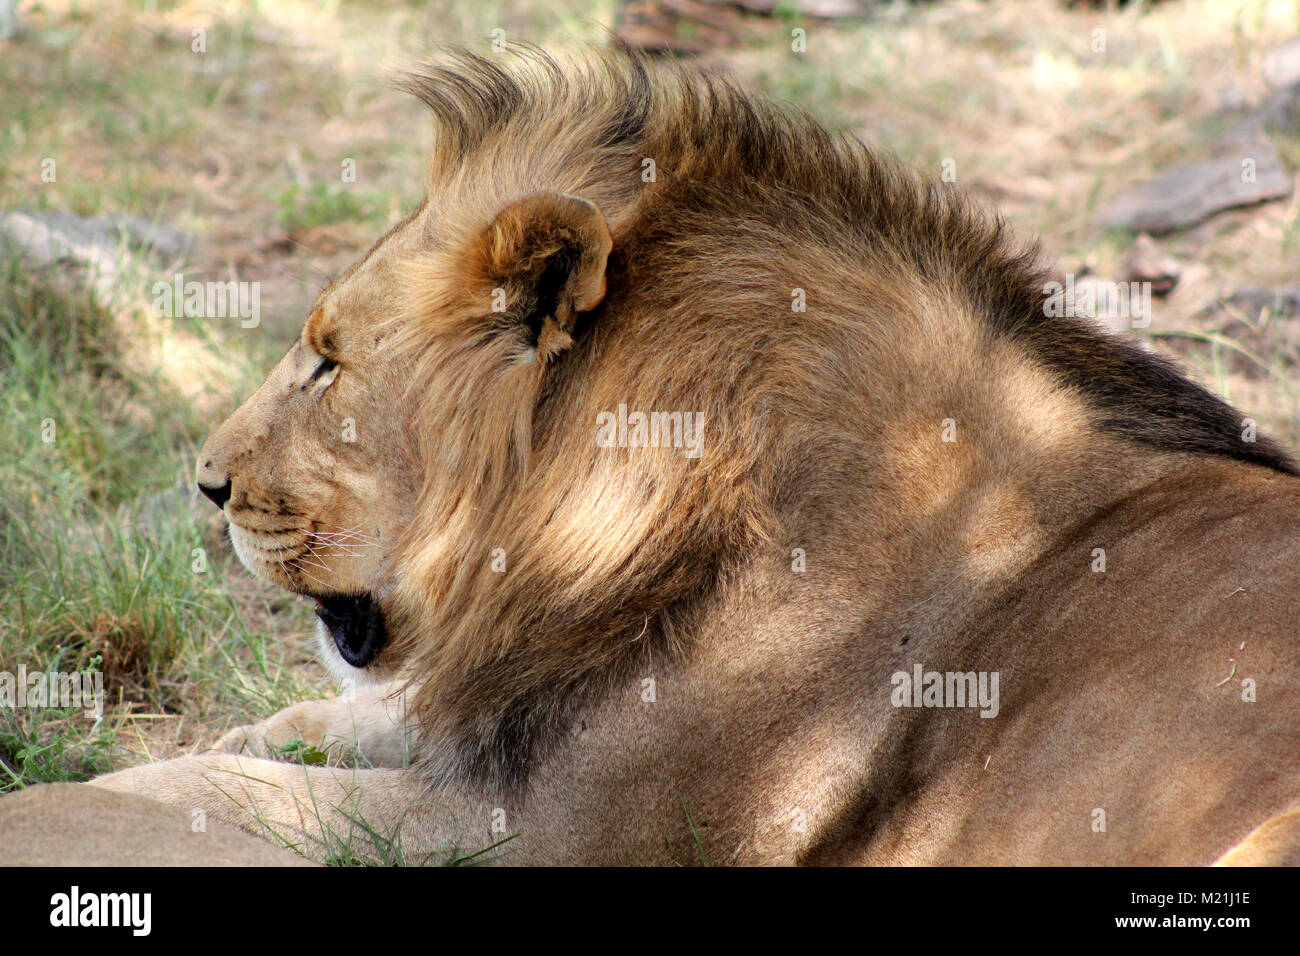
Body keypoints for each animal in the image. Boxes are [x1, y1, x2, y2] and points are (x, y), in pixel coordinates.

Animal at [33, 48, 1300, 865]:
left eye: (328, 361)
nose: (206, 484)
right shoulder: (522, 714)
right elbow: (334, 726)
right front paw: (271, 724)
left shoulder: (562, 832)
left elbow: (216, 791)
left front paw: (65, 799)